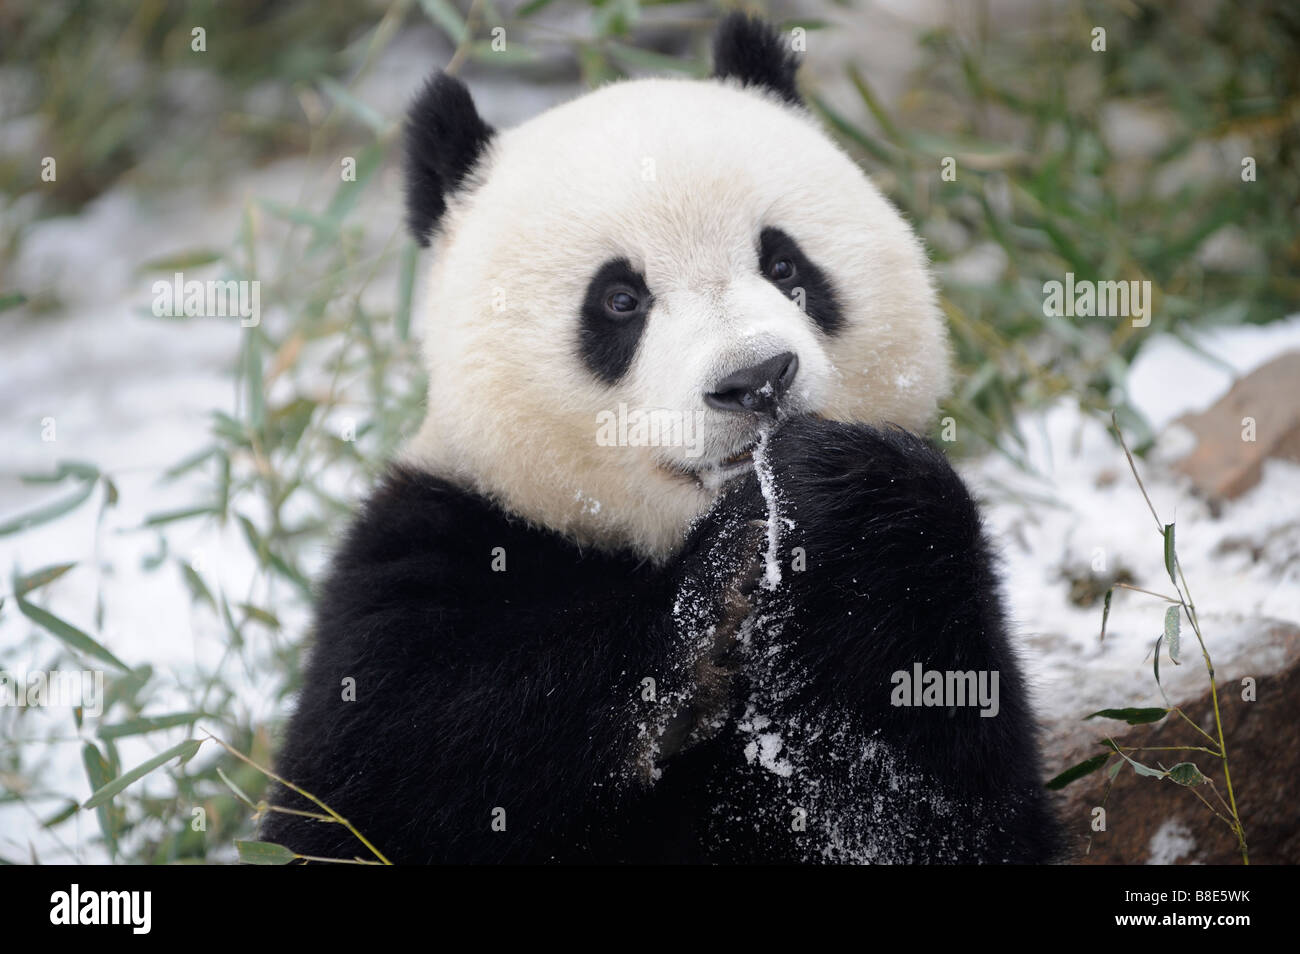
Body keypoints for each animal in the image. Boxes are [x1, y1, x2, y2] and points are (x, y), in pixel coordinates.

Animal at [262, 14, 1061, 864]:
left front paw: (843, 495)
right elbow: (394, 776)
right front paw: (723, 579)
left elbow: (917, 806)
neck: (648, 537)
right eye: (619, 299)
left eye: (785, 264)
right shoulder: (425, 553)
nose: (757, 379)